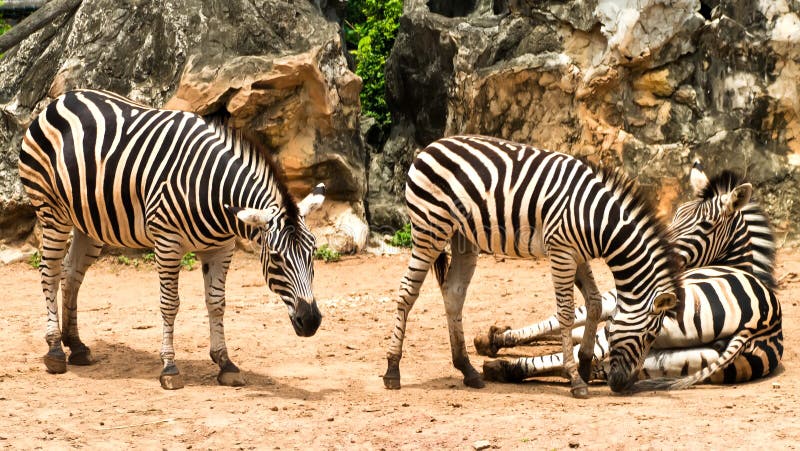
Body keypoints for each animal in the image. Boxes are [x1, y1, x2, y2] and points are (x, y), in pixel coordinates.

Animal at [18, 89, 326, 390]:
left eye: (312, 253)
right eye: (276, 258)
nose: (310, 321)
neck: (213, 190)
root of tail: (62, 98)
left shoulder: (222, 248)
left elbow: (217, 303)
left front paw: (225, 363)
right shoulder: (168, 242)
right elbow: (170, 304)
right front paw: (169, 367)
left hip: (89, 222)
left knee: (71, 274)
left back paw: (76, 346)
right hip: (52, 211)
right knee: (50, 272)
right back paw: (55, 350)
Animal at [382, 135, 683, 397]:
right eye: (650, 335)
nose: (626, 386)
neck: (598, 221)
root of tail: (429, 147)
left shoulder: (577, 255)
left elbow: (595, 303)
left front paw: (585, 365)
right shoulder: (561, 252)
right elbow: (566, 313)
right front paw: (576, 379)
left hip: (462, 238)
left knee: (454, 293)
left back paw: (467, 370)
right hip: (429, 228)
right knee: (407, 291)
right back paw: (393, 370)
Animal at [476, 164, 782, 387]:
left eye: (706, 225)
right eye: (678, 213)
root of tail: (760, 323)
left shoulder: (624, 299)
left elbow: (566, 321)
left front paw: (497, 339)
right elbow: (573, 330)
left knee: (584, 354)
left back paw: (503, 368)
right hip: (668, 361)